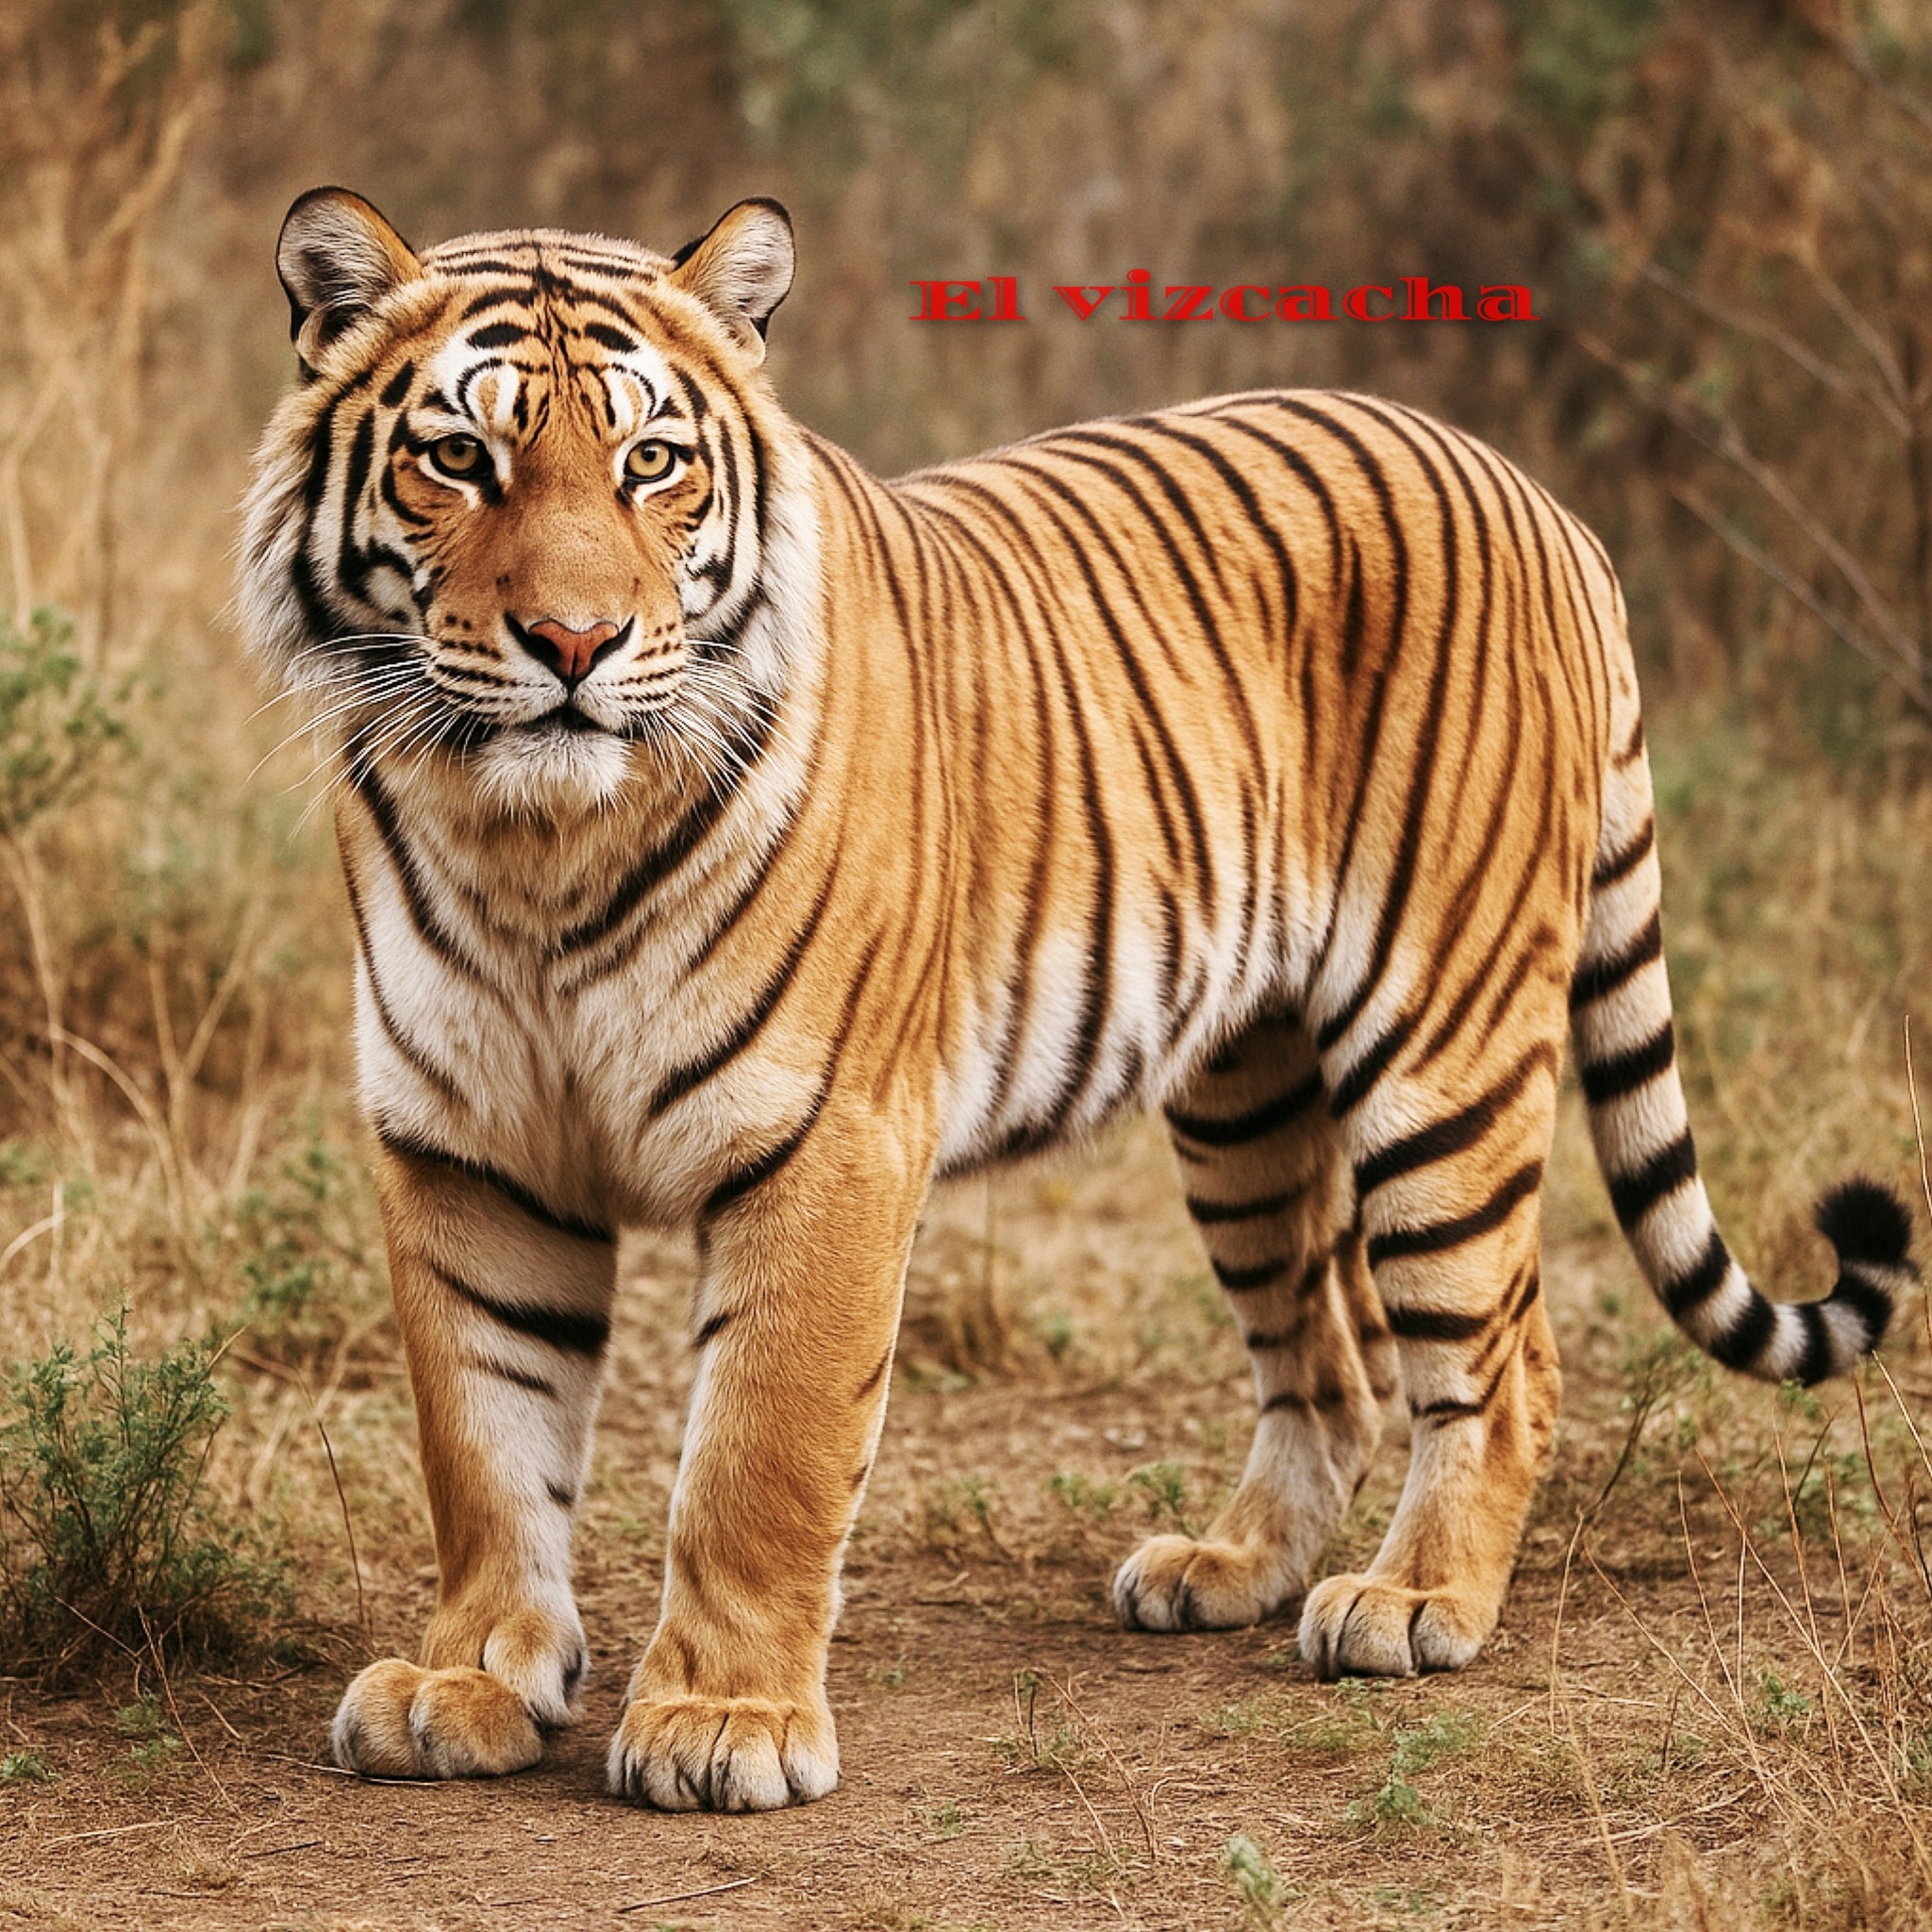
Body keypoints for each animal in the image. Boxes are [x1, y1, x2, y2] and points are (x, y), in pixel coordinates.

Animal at [239, 186, 1917, 1812]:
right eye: (460, 458)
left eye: (653, 464)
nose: (575, 644)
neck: (532, 845)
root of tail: (1541, 497)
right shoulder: (467, 1147)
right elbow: (485, 1441)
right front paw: (466, 1681)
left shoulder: (825, 1140)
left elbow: (761, 1456)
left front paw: (725, 1722)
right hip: (1245, 1100)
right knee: (1331, 1362)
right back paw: (1227, 1568)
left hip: (1444, 1050)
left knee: (1498, 1361)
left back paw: (1413, 1606)